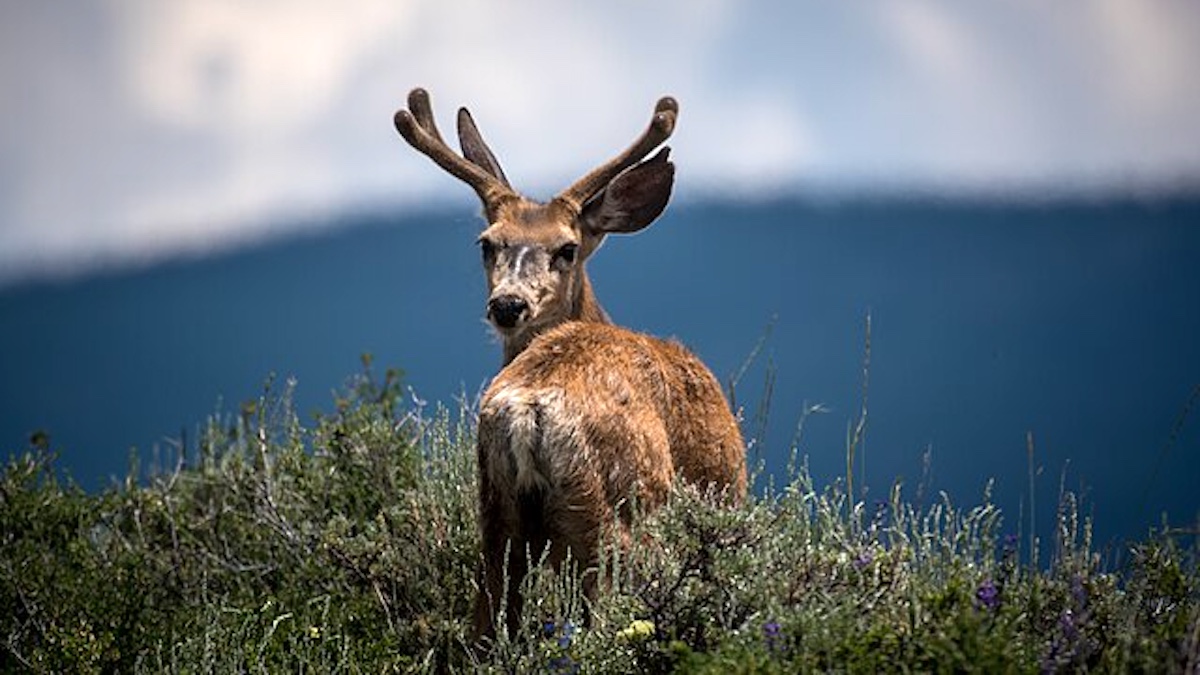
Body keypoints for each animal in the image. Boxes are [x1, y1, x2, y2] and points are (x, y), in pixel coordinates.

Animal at [393, 88, 747, 640]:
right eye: (487, 243)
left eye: (567, 248)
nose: (508, 304)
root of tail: (528, 410)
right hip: (617, 513)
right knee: (604, 620)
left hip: (496, 514)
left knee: (487, 623)